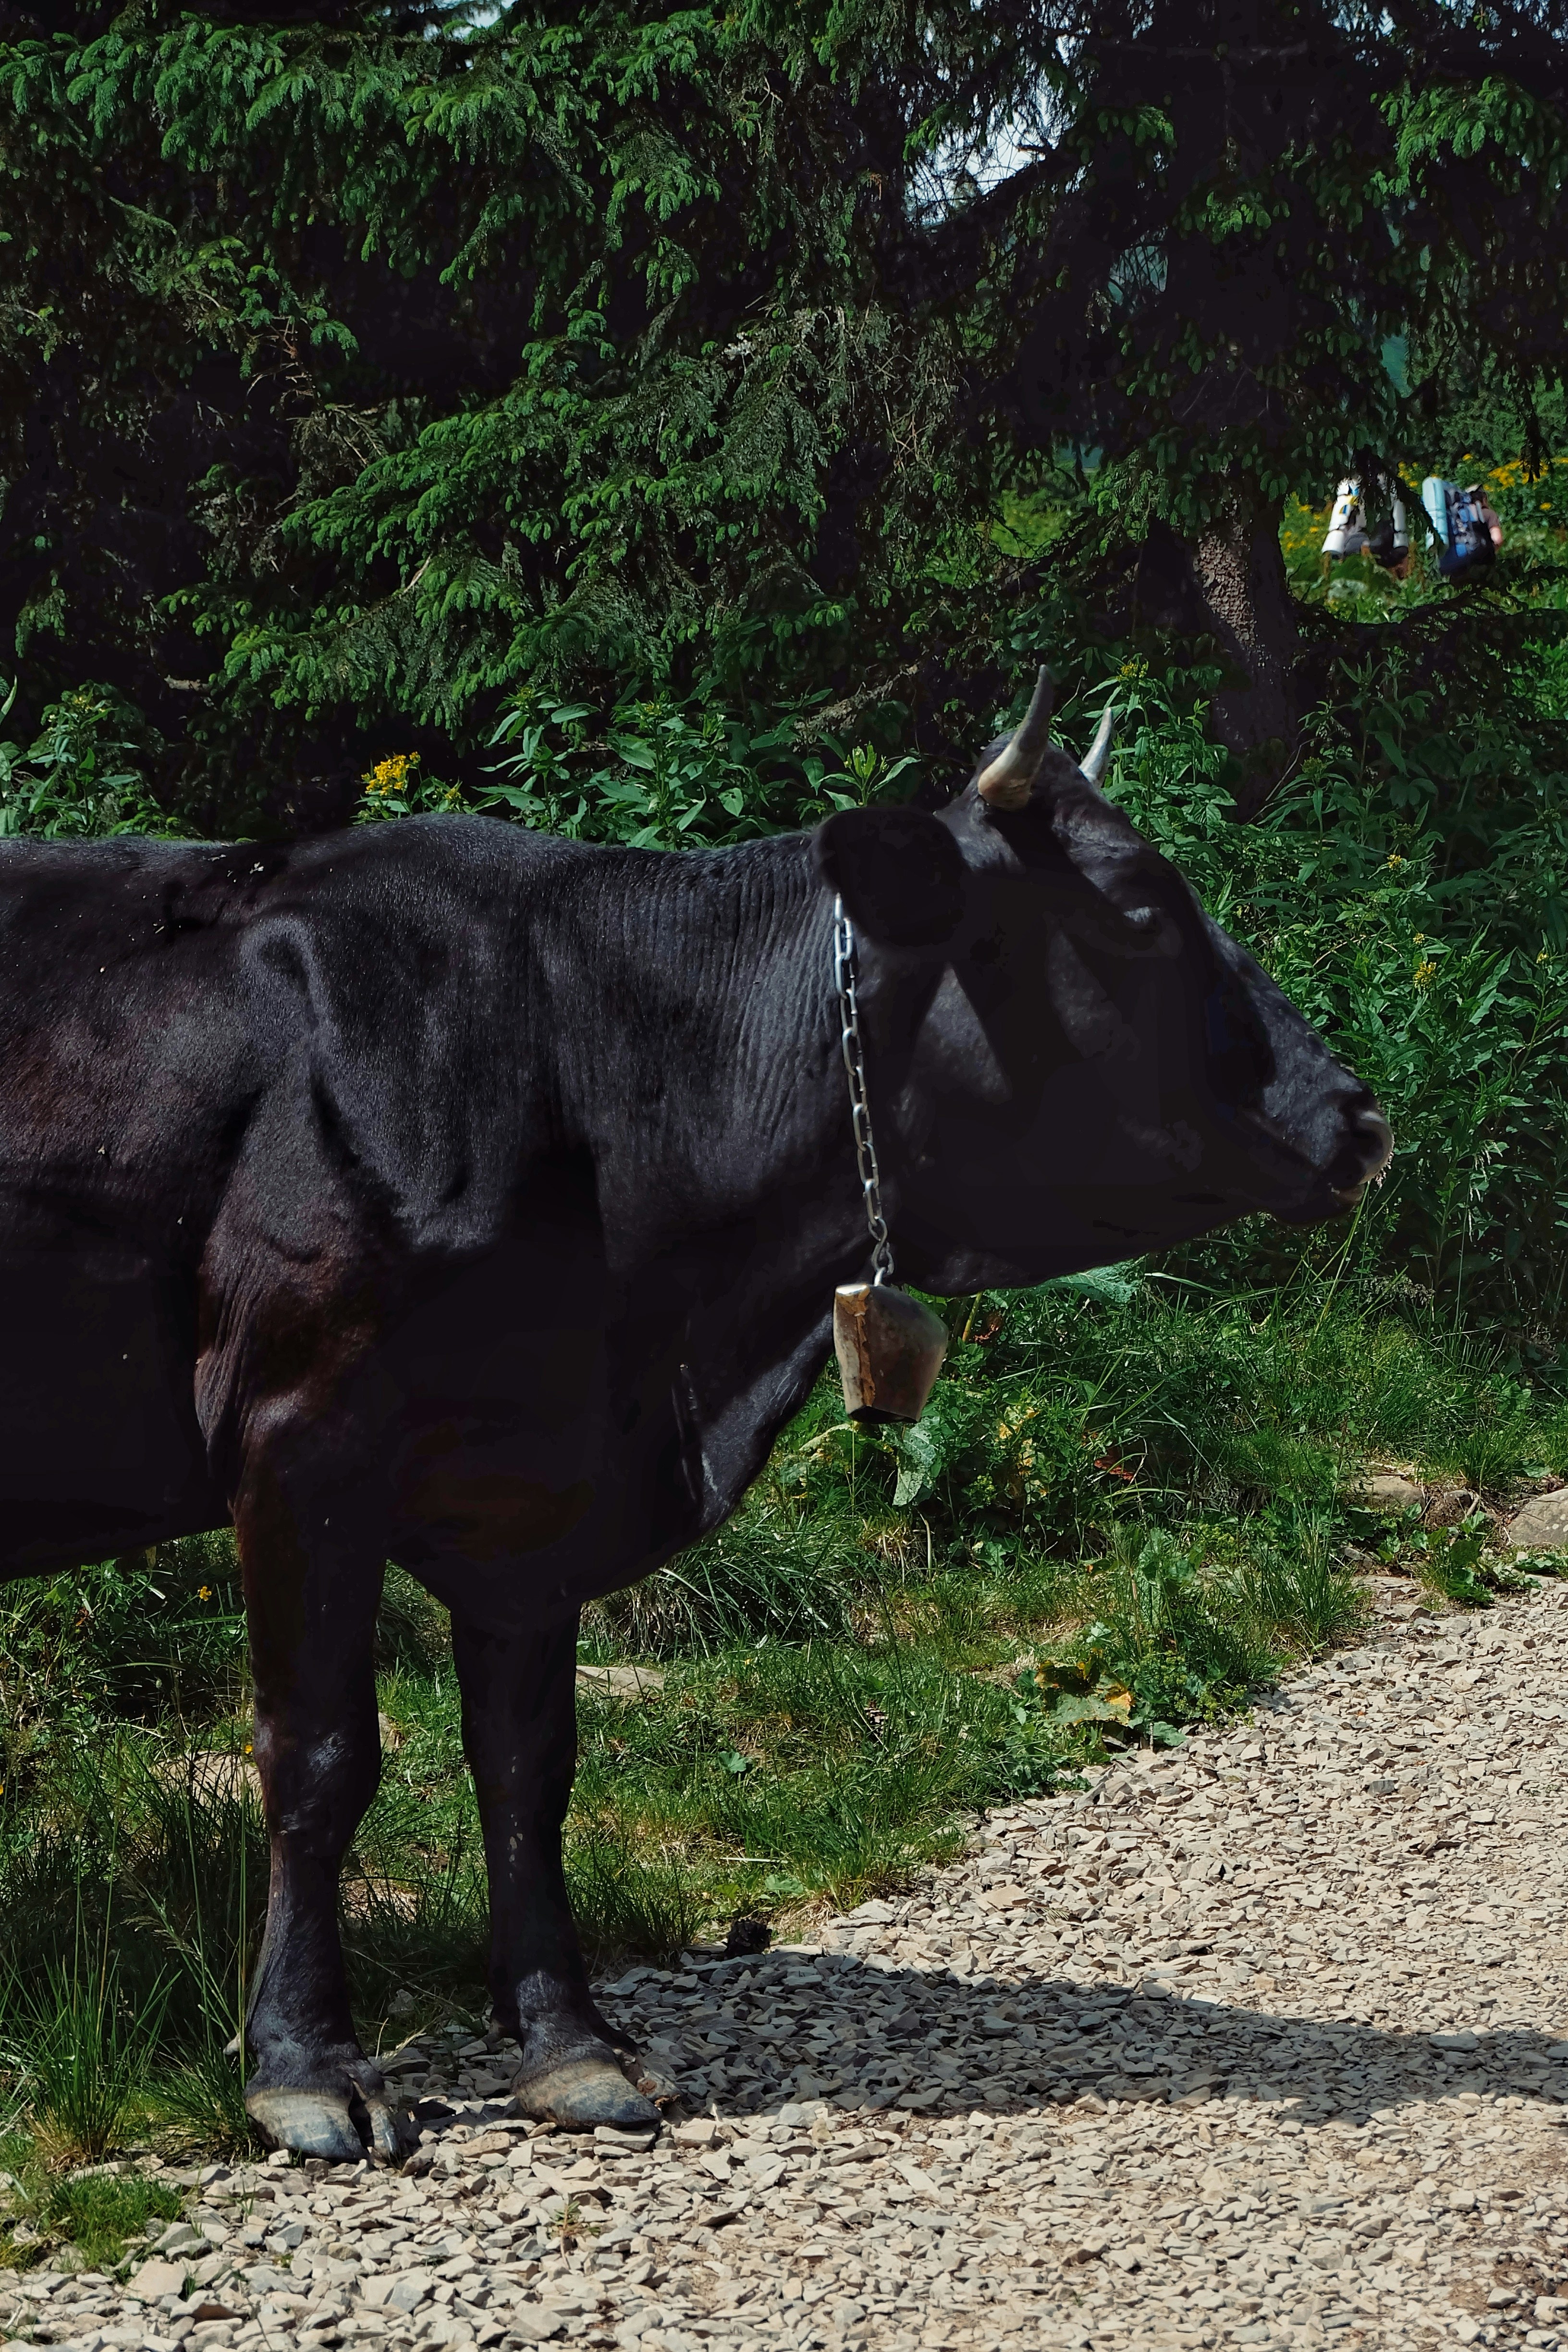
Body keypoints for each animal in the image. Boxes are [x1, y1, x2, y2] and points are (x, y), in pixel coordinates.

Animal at [0, 673, 1390, 2160]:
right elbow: (320, 1758)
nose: (1360, 1119)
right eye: (1136, 911)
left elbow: (530, 1765)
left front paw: (571, 2045)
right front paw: (309, 2066)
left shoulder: (531, 1485)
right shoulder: (297, 1435)